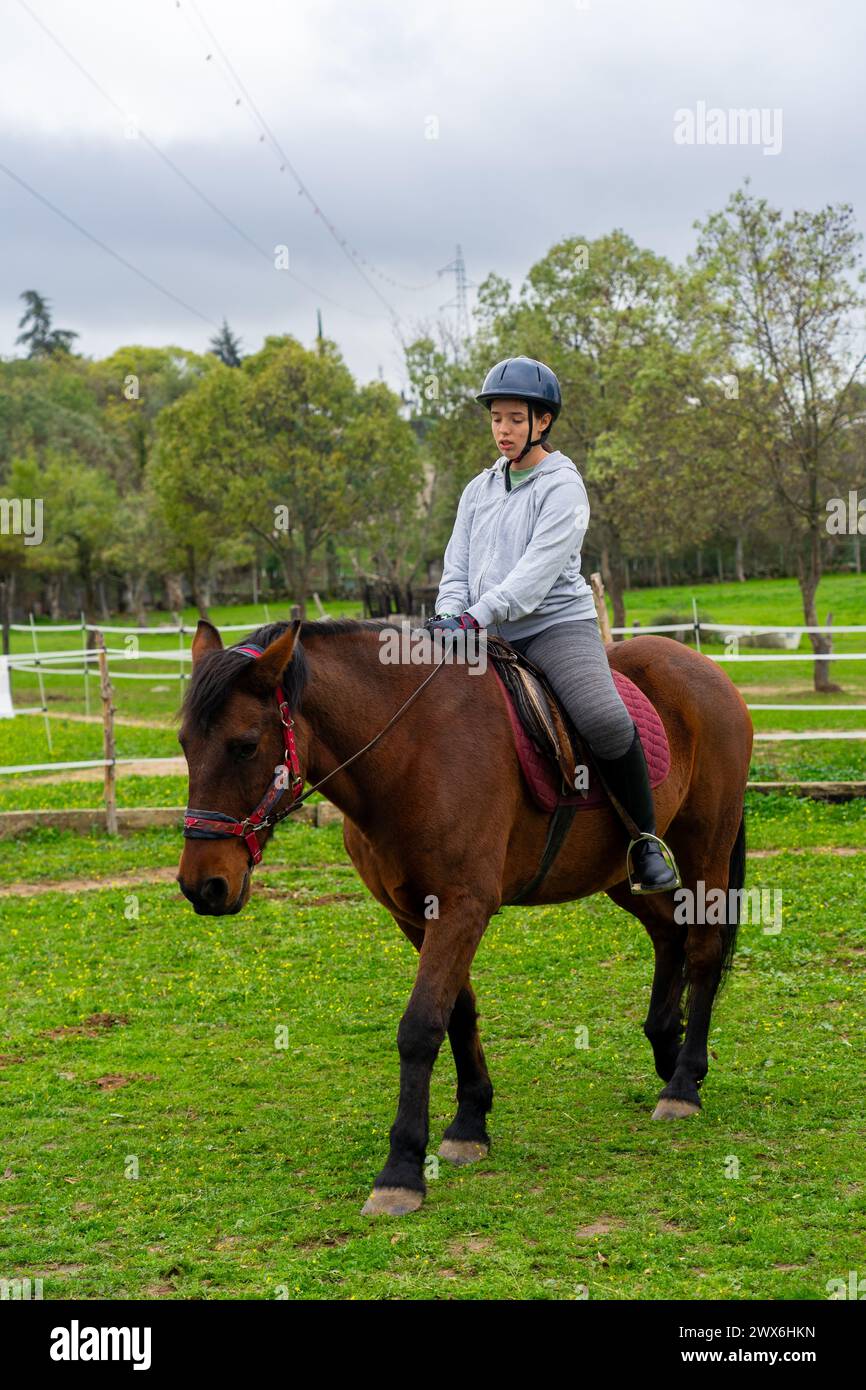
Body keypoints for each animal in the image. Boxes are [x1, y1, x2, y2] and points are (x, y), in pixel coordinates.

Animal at [177, 617, 753, 1216]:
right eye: (185, 745)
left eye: (244, 746)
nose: (203, 886)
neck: (411, 751)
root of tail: (703, 668)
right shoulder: (416, 915)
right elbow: (457, 1012)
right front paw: (470, 1124)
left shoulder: (462, 908)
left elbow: (420, 1026)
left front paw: (402, 1171)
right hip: (619, 873)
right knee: (668, 932)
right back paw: (667, 1049)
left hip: (706, 846)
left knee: (703, 949)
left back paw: (683, 1083)